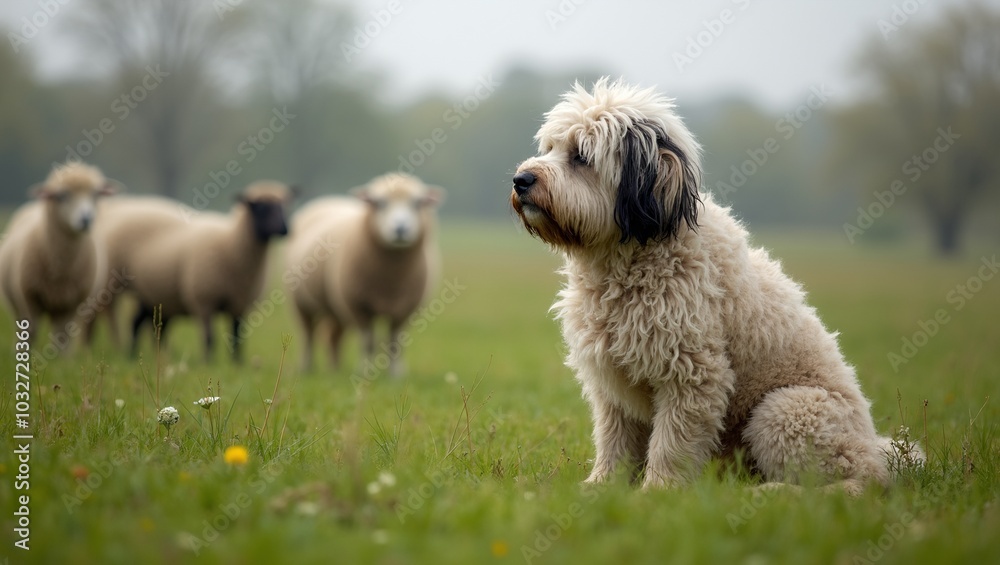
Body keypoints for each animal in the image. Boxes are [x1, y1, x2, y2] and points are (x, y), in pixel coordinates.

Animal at [0, 161, 116, 348]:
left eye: (95, 194)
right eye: (62, 196)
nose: (86, 219)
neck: (61, 267)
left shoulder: (70, 305)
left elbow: (61, 340)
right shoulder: (30, 299)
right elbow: (30, 333)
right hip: (16, 304)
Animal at [90, 181, 294, 362]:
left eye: (283, 206)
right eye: (261, 207)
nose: (285, 229)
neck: (231, 243)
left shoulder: (239, 303)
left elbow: (237, 338)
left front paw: (238, 364)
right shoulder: (204, 300)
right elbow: (210, 338)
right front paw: (208, 363)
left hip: (152, 295)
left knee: (144, 323)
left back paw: (157, 356)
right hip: (113, 285)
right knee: (129, 322)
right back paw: (130, 355)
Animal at [285, 173, 444, 377]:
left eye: (417, 203)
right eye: (379, 203)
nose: (401, 229)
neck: (392, 280)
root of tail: (329, 199)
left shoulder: (405, 308)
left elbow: (395, 343)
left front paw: (396, 375)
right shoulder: (358, 306)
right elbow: (368, 342)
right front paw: (366, 371)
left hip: (335, 308)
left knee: (333, 336)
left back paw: (334, 369)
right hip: (300, 301)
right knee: (308, 334)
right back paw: (307, 367)